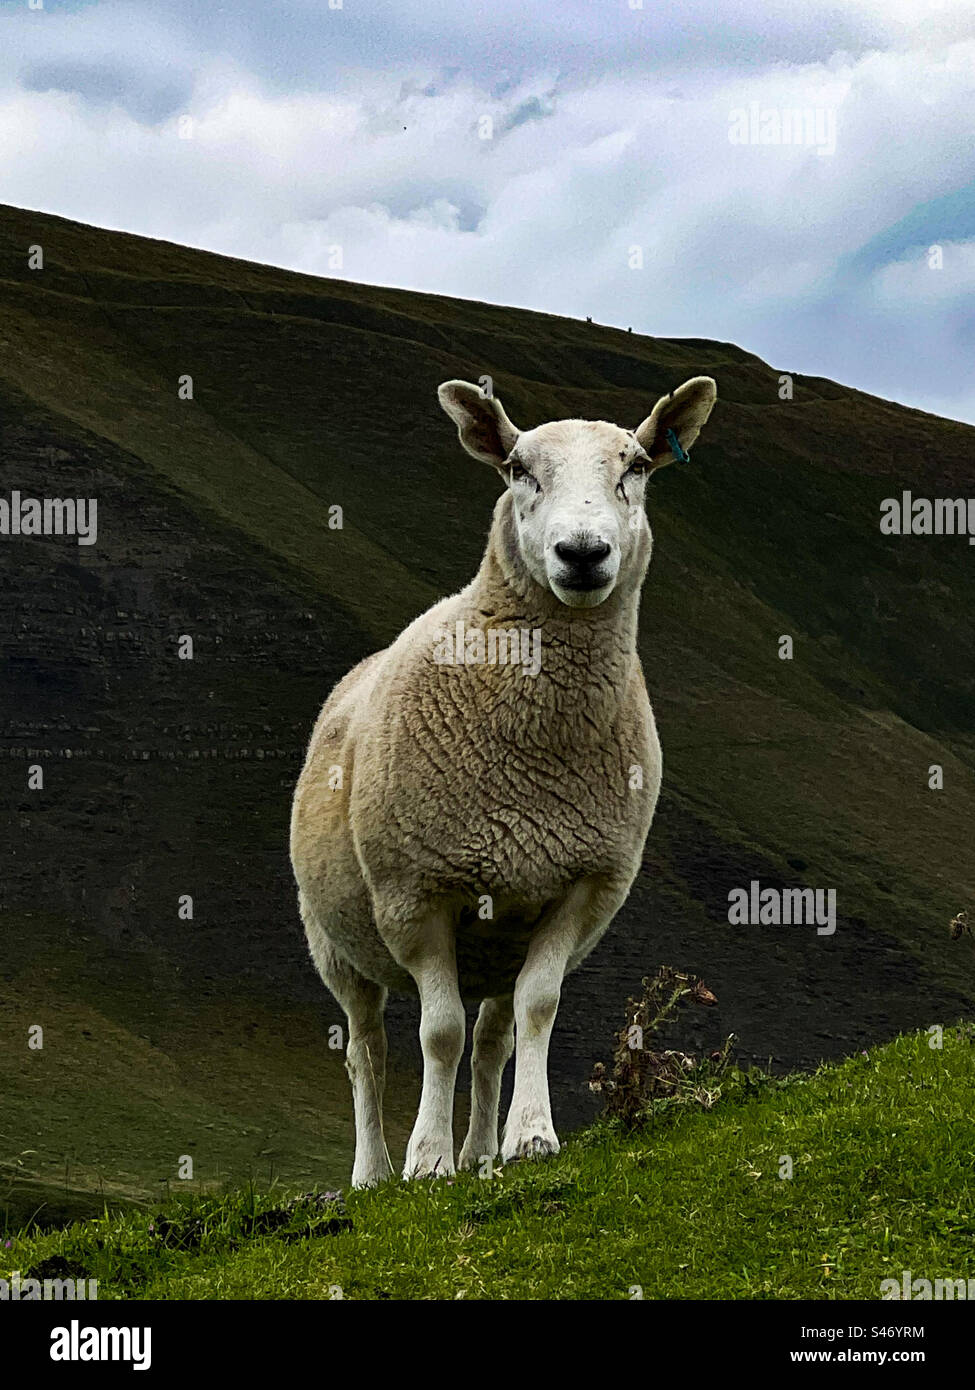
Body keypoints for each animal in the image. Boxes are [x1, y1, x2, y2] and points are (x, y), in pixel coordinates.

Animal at [290, 374, 718, 1186]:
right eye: (519, 470)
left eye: (636, 466)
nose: (581, 552)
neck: (539, 746)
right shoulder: (417, 895)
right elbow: (437, 1033)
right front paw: (427, 1161)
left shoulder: (580, 887)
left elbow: (536, 1011)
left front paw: (529, 1140)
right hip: (335, 941)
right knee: (367, 1050)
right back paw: (371, 1173)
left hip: (497, 939)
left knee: (492, 1038)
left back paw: (481, 1151)